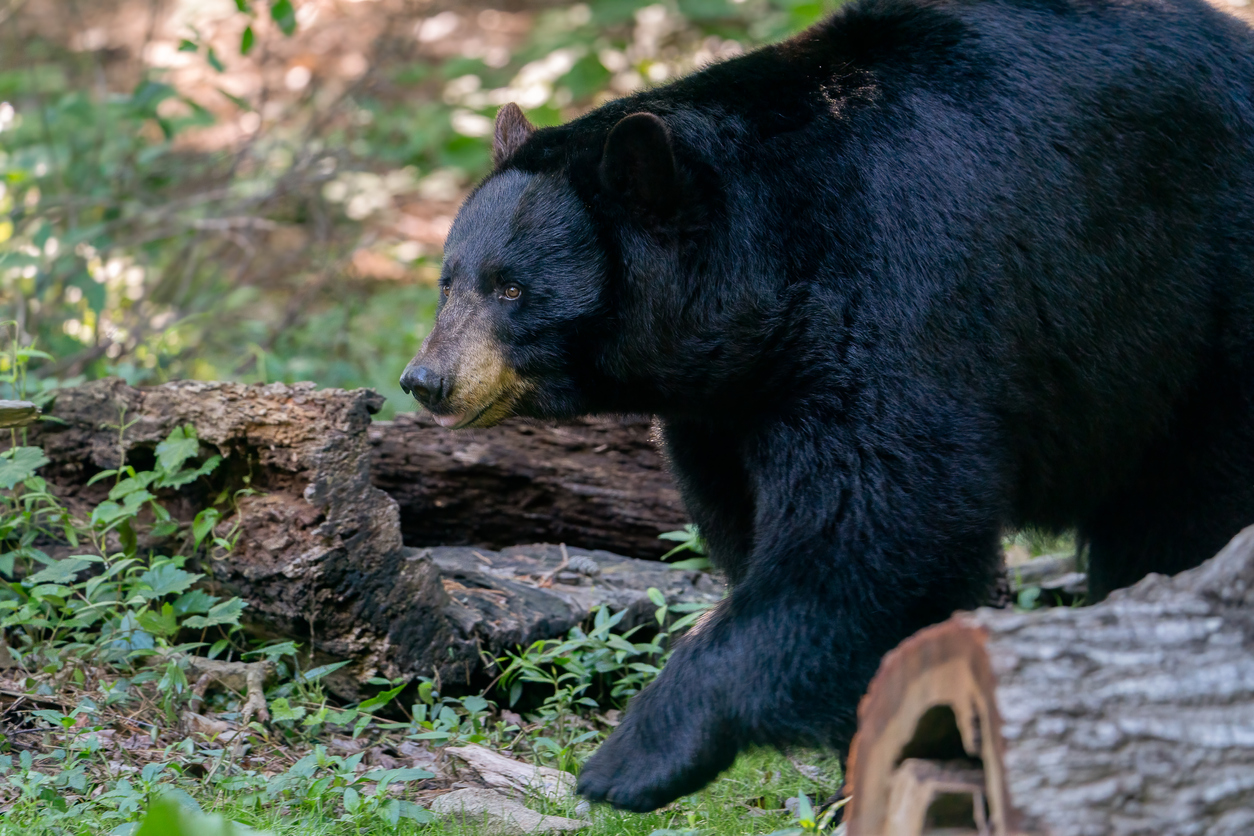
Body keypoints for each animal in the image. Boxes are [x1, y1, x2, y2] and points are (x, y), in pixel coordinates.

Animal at [399, 0, 1254, 813]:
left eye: (513, 288)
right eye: (450, 279)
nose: (426, 379)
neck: (766, 285)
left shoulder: (896, 295)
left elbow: (875, 530)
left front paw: (633, 758)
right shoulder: (726, 405)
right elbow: (761, 532)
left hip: (1200, 307)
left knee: (1183, 510)